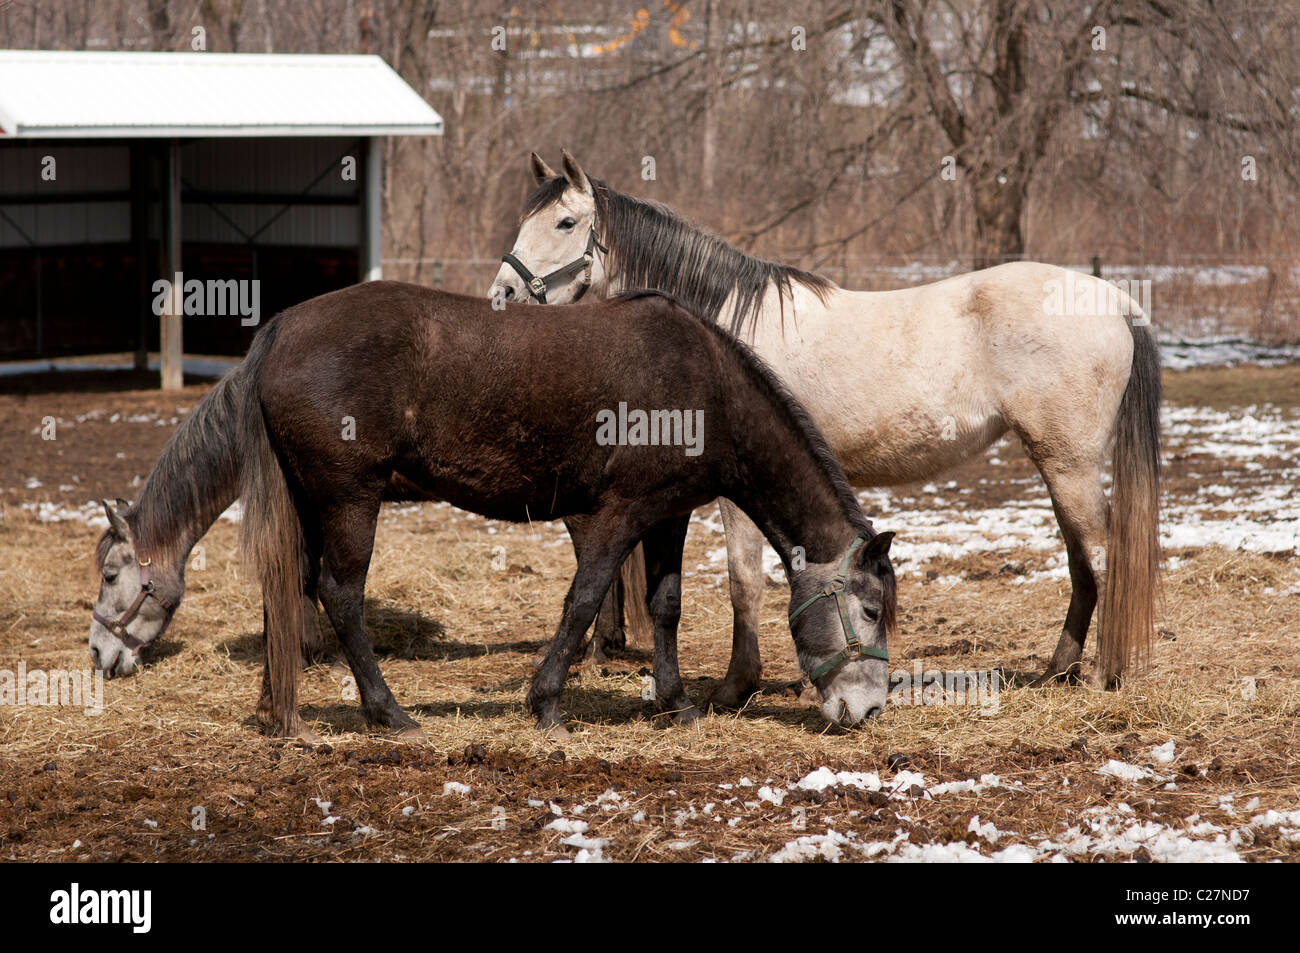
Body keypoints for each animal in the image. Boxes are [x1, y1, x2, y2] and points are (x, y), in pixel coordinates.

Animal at [89, 283, 897, 739]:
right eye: (869, 608)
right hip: (348, 500)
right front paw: (547, 705)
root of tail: (280, 331)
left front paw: (675, 704)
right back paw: (389, 715)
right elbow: (583, 600)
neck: (703, 382)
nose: (867, 709)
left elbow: (664, 606)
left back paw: (276, 708)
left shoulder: (667, 515)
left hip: (313, 504)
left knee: (292, 592)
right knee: (339, 594)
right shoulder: (616, 516)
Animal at [490, 150, 1161, 702]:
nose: (502, 297)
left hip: (1067, 461)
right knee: (1081, 561)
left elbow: (743, 582)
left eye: (565, 224)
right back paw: (1059, 669)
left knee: (1100, 557)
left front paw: (735, 687)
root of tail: (1115, 300)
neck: (719, 330)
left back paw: (1100, 675)